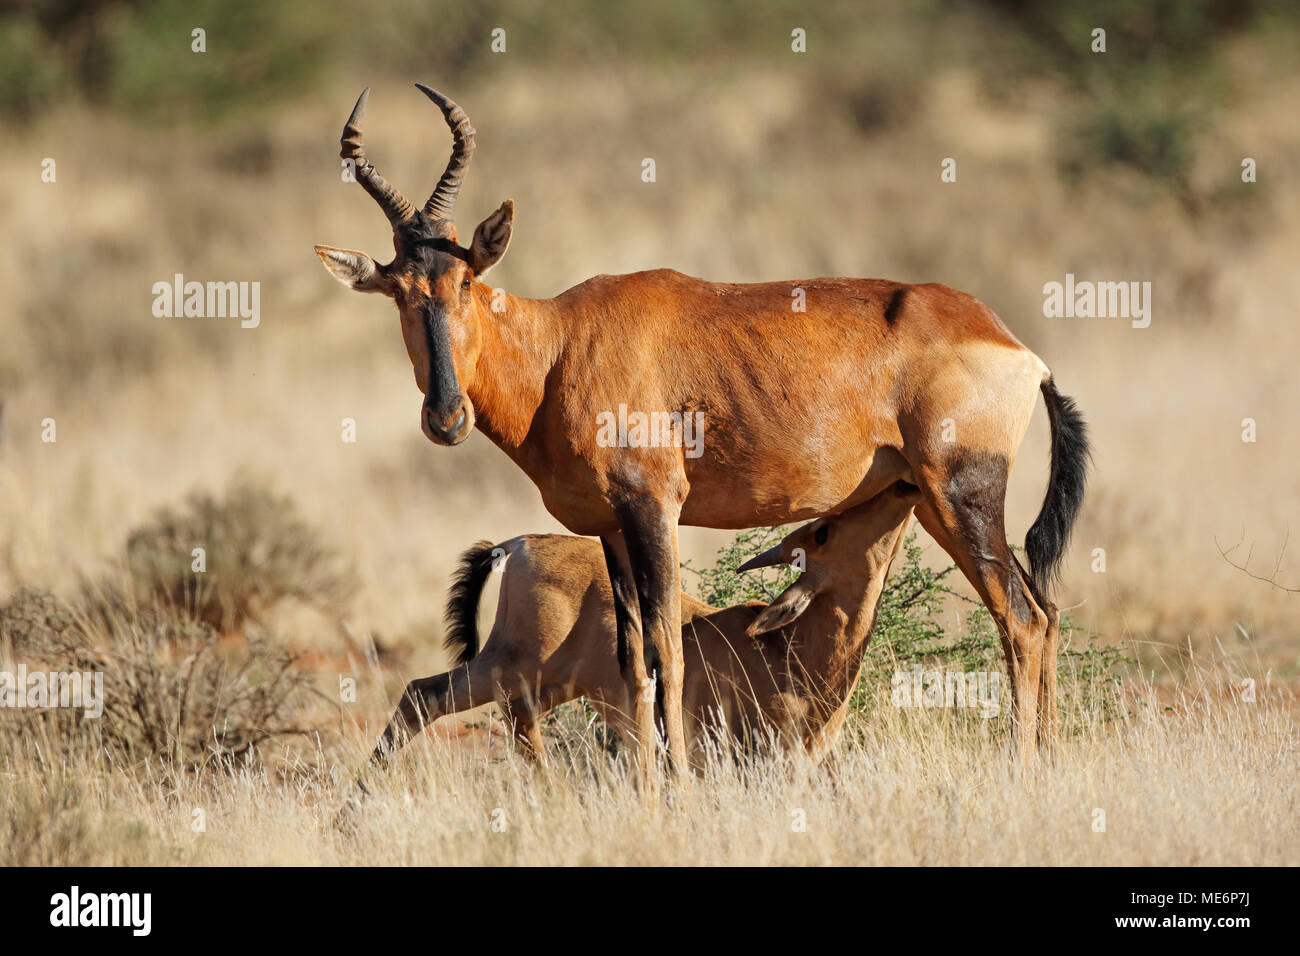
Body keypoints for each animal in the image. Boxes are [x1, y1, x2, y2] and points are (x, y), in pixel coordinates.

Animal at [369, 483, 922, 770]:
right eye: (822, 531)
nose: (904, 485)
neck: (783, 647)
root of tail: (519, 545)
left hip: (548, 686)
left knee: (509, 721)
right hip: (504, 669)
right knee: (424, 695)